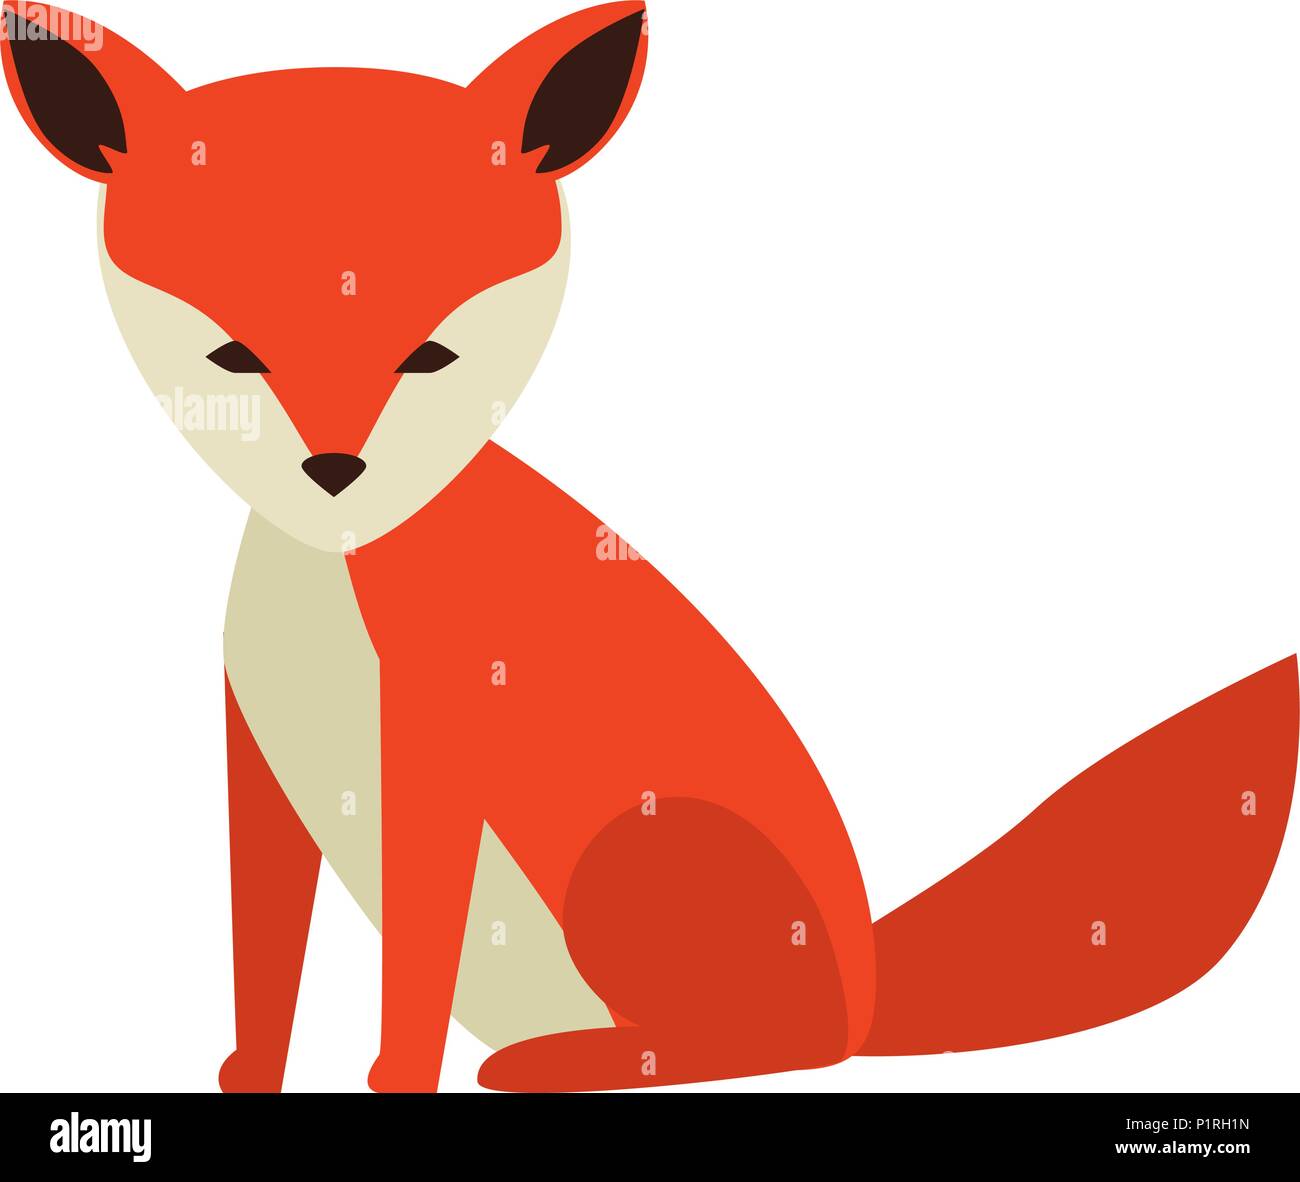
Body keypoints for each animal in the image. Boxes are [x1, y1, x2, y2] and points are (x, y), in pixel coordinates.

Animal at [3, 0, 1296, 1093]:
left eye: (429, 356)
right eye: (233, 358)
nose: (334, 471)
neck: (339, 576)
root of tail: (870, 986)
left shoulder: (438, 737)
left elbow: (408, 978)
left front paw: (395, 1080)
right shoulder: (262, 754)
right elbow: (263, 960)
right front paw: (248, 1077)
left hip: (637, 850)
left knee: (775, 1050)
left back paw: (568, 1063)